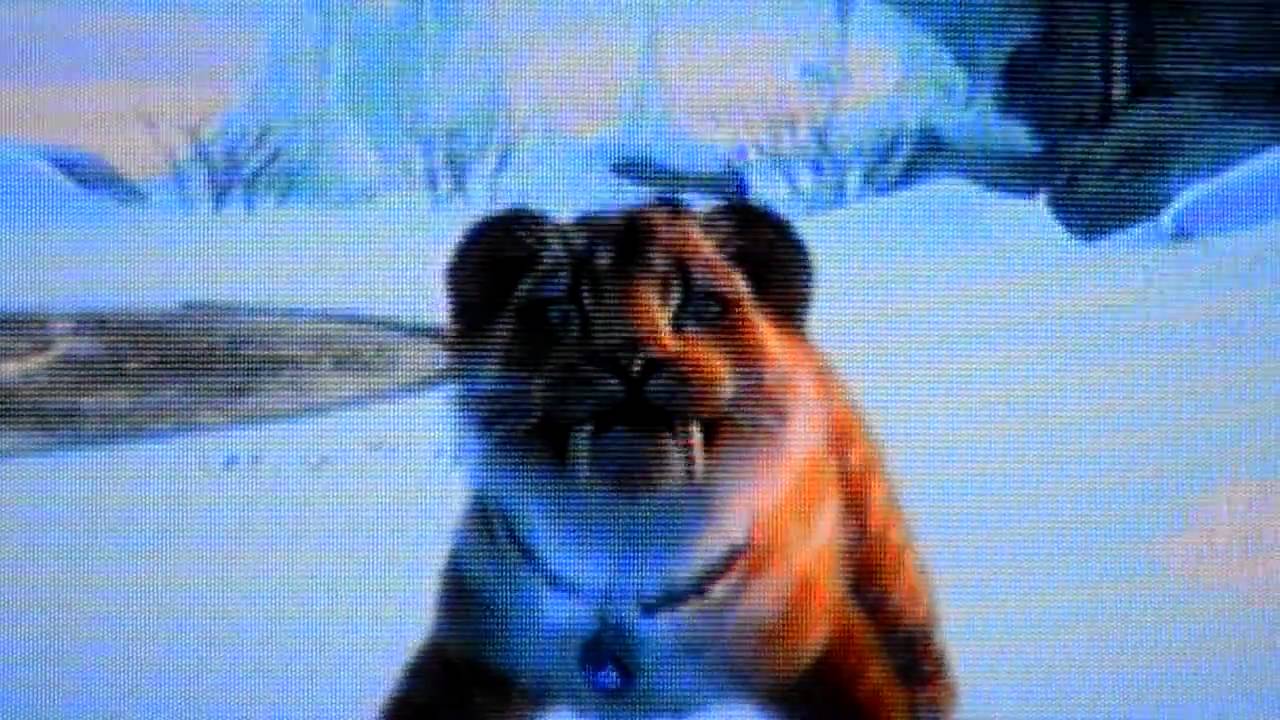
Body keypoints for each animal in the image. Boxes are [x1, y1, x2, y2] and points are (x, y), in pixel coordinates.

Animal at [384, 200, 954, 719]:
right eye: (561, 311)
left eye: (699, 306)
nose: (631, 359)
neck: (629, 544)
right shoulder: (473, 657)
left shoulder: (822, 653)